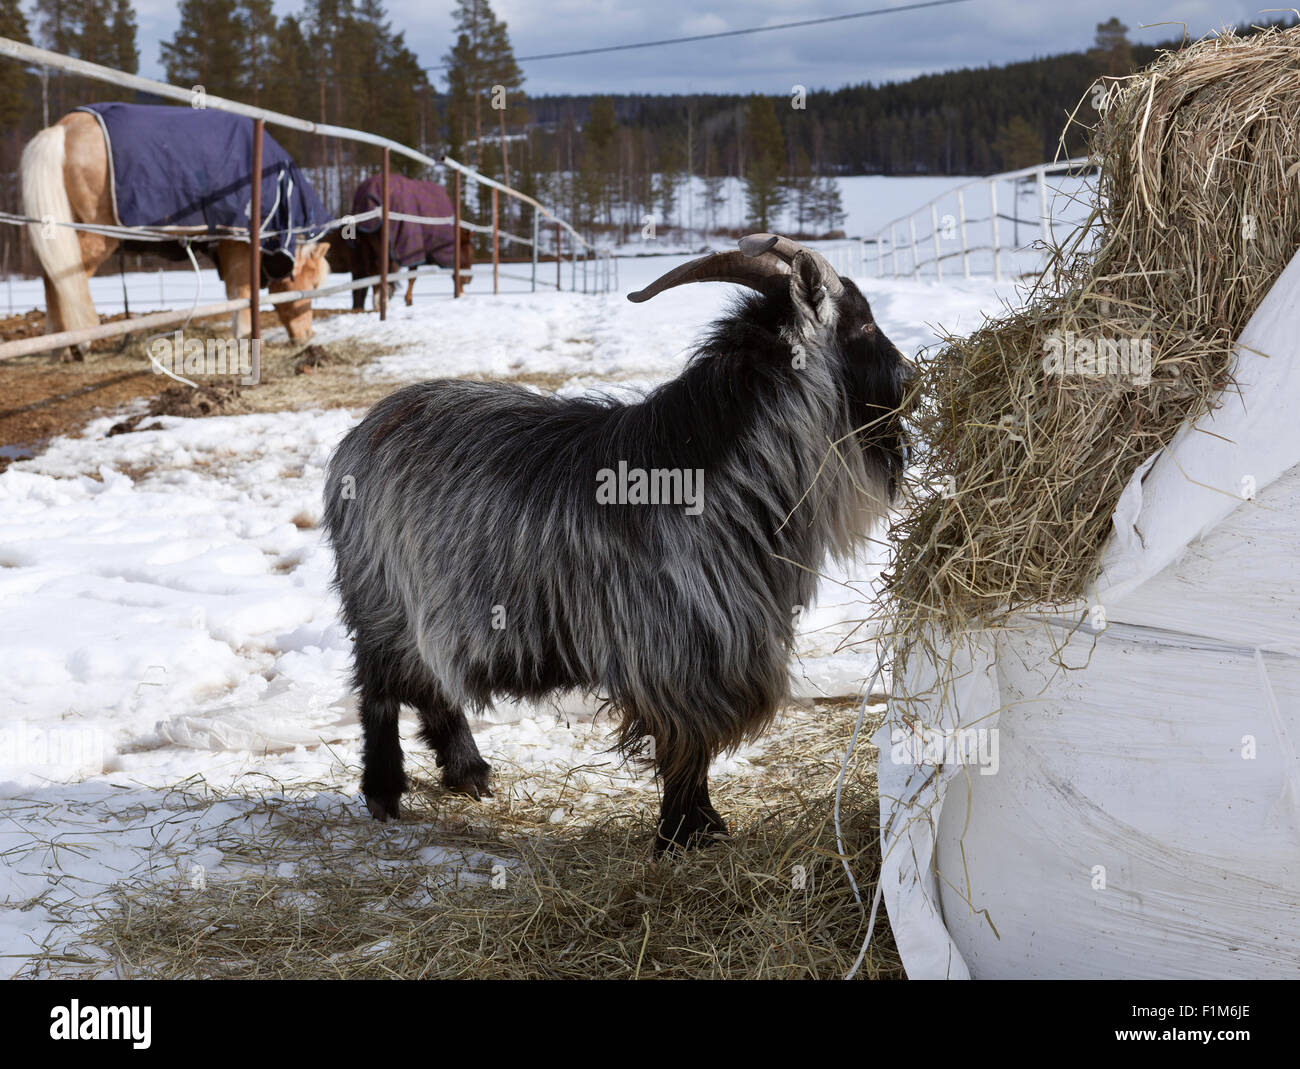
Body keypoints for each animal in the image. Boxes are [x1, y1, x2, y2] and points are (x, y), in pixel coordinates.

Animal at [21, 105, 331, 360]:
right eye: (314, 284)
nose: (306, 336)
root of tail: (63, 128)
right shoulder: (238, 240)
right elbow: (240, 290)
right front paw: (244, 336)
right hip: (95, 234)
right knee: (64, 278)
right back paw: (76, 344)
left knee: (50, 276)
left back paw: (59, 348)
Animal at [322, 235, 911, 851]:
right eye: (865, 324)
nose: (913, 380)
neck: (712, 471)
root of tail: (363, 432)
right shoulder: (675, 651)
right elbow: (686, 745)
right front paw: (687, 833)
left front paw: (697, 828)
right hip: (383, 599)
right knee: (381, 688)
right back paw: (385, 789)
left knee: (431, 684)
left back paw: (469, 773)